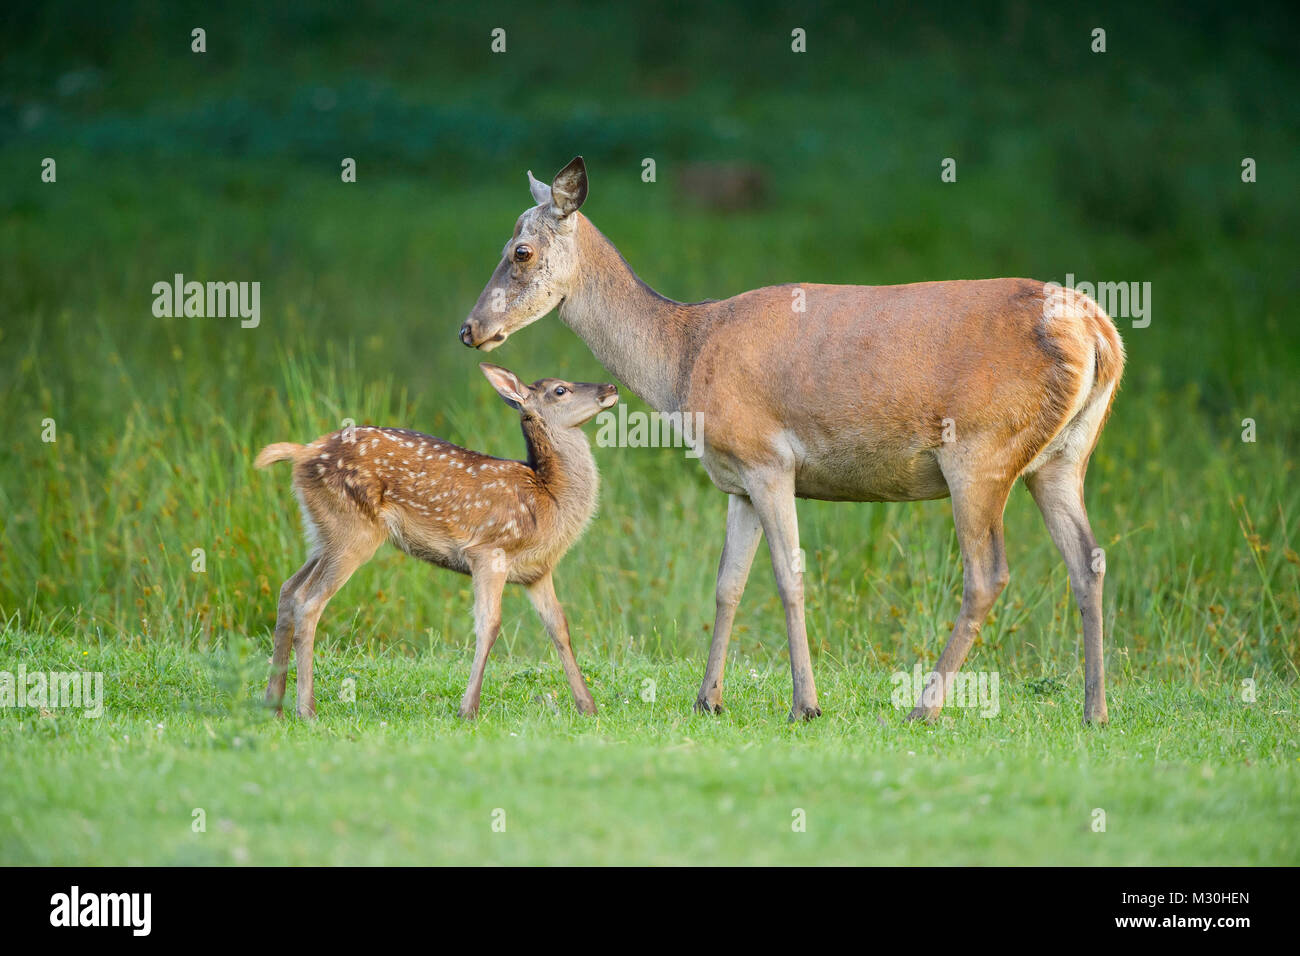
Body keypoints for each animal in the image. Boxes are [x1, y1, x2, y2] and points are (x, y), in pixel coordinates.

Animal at [254, 362, 619, 720]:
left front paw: (588, 707)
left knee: (287, 589)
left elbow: (559, 626)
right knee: (308, 601)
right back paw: (306, 710)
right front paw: (468, 709)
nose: (611, 387)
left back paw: (274, 705)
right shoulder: (489, 550)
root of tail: (303, 452)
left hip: (323, 532)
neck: (549, 499)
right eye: (560, 389)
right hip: (352, 531)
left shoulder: (537, 572)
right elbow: (489, 624)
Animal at [458, 157, 1124, 725]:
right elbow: (727, 584)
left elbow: (788, 576)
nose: (470, 329)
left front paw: (806, 705)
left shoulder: (768, 459)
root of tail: (1099, 330)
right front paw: (708, 700)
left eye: (520, 251)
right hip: (1063, 457)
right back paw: (1093, 711)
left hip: (980, 452)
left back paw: (923, 708)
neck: (683, 359)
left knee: (988, 574)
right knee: (1088, 559)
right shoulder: (736, 480)